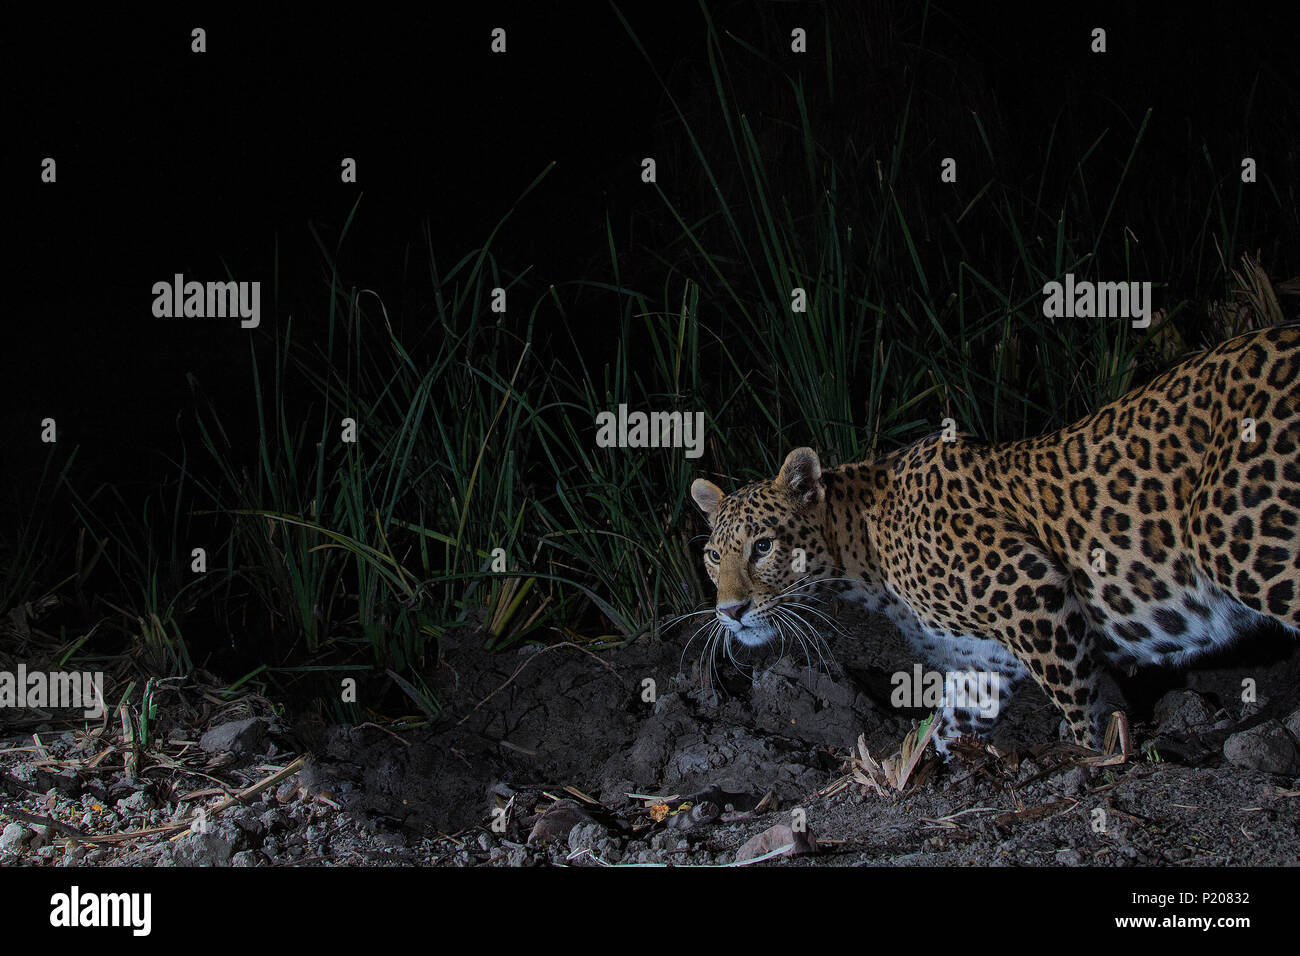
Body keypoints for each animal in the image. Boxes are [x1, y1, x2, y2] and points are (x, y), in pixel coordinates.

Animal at [689, 324, 1300, 756]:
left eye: (763, 547)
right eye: (714, 555)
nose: (730, 612)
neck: (861, 550)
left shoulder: (1036, 597)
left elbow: (1081, 705)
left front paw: (1097, 760)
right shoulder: (982, 662)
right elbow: (947, 729)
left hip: (1240, 539)